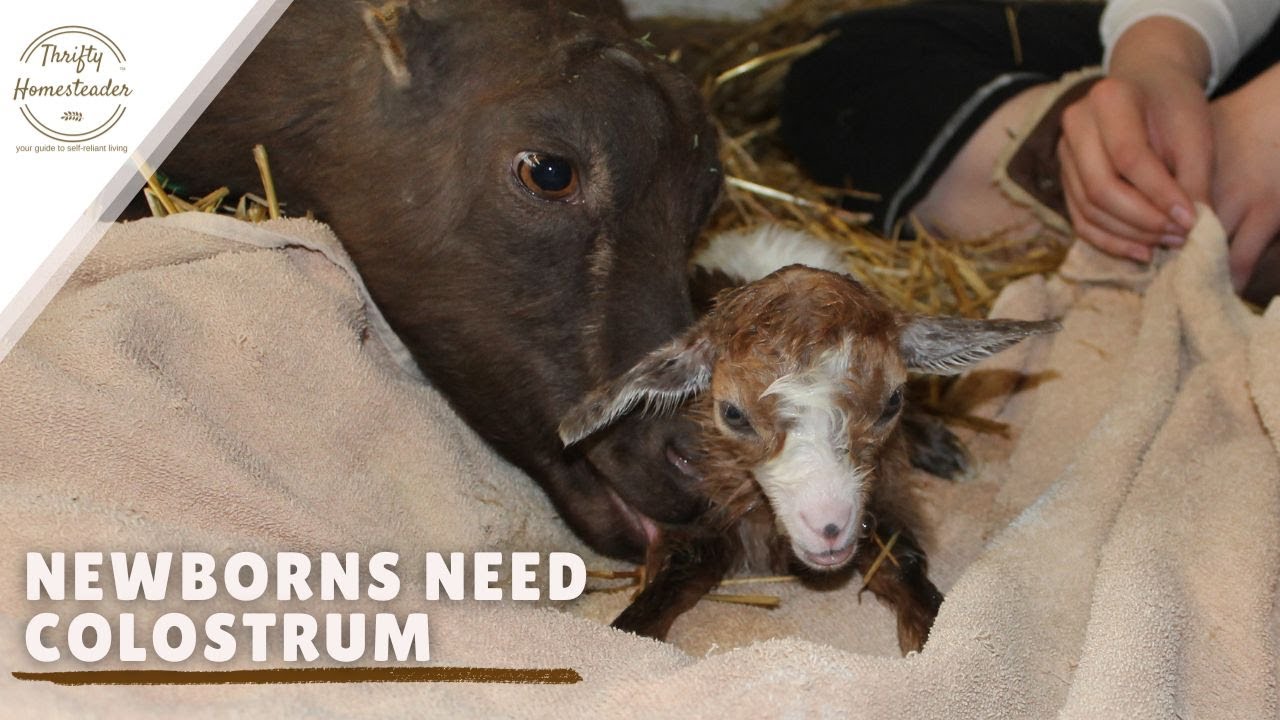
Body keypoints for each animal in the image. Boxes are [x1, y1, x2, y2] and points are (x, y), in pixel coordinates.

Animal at [560, 264, 1059, 651]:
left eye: (893, 401)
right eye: (733, 413)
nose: (829, 527)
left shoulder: (882, 499)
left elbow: (904, 563)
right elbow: (673, 580)